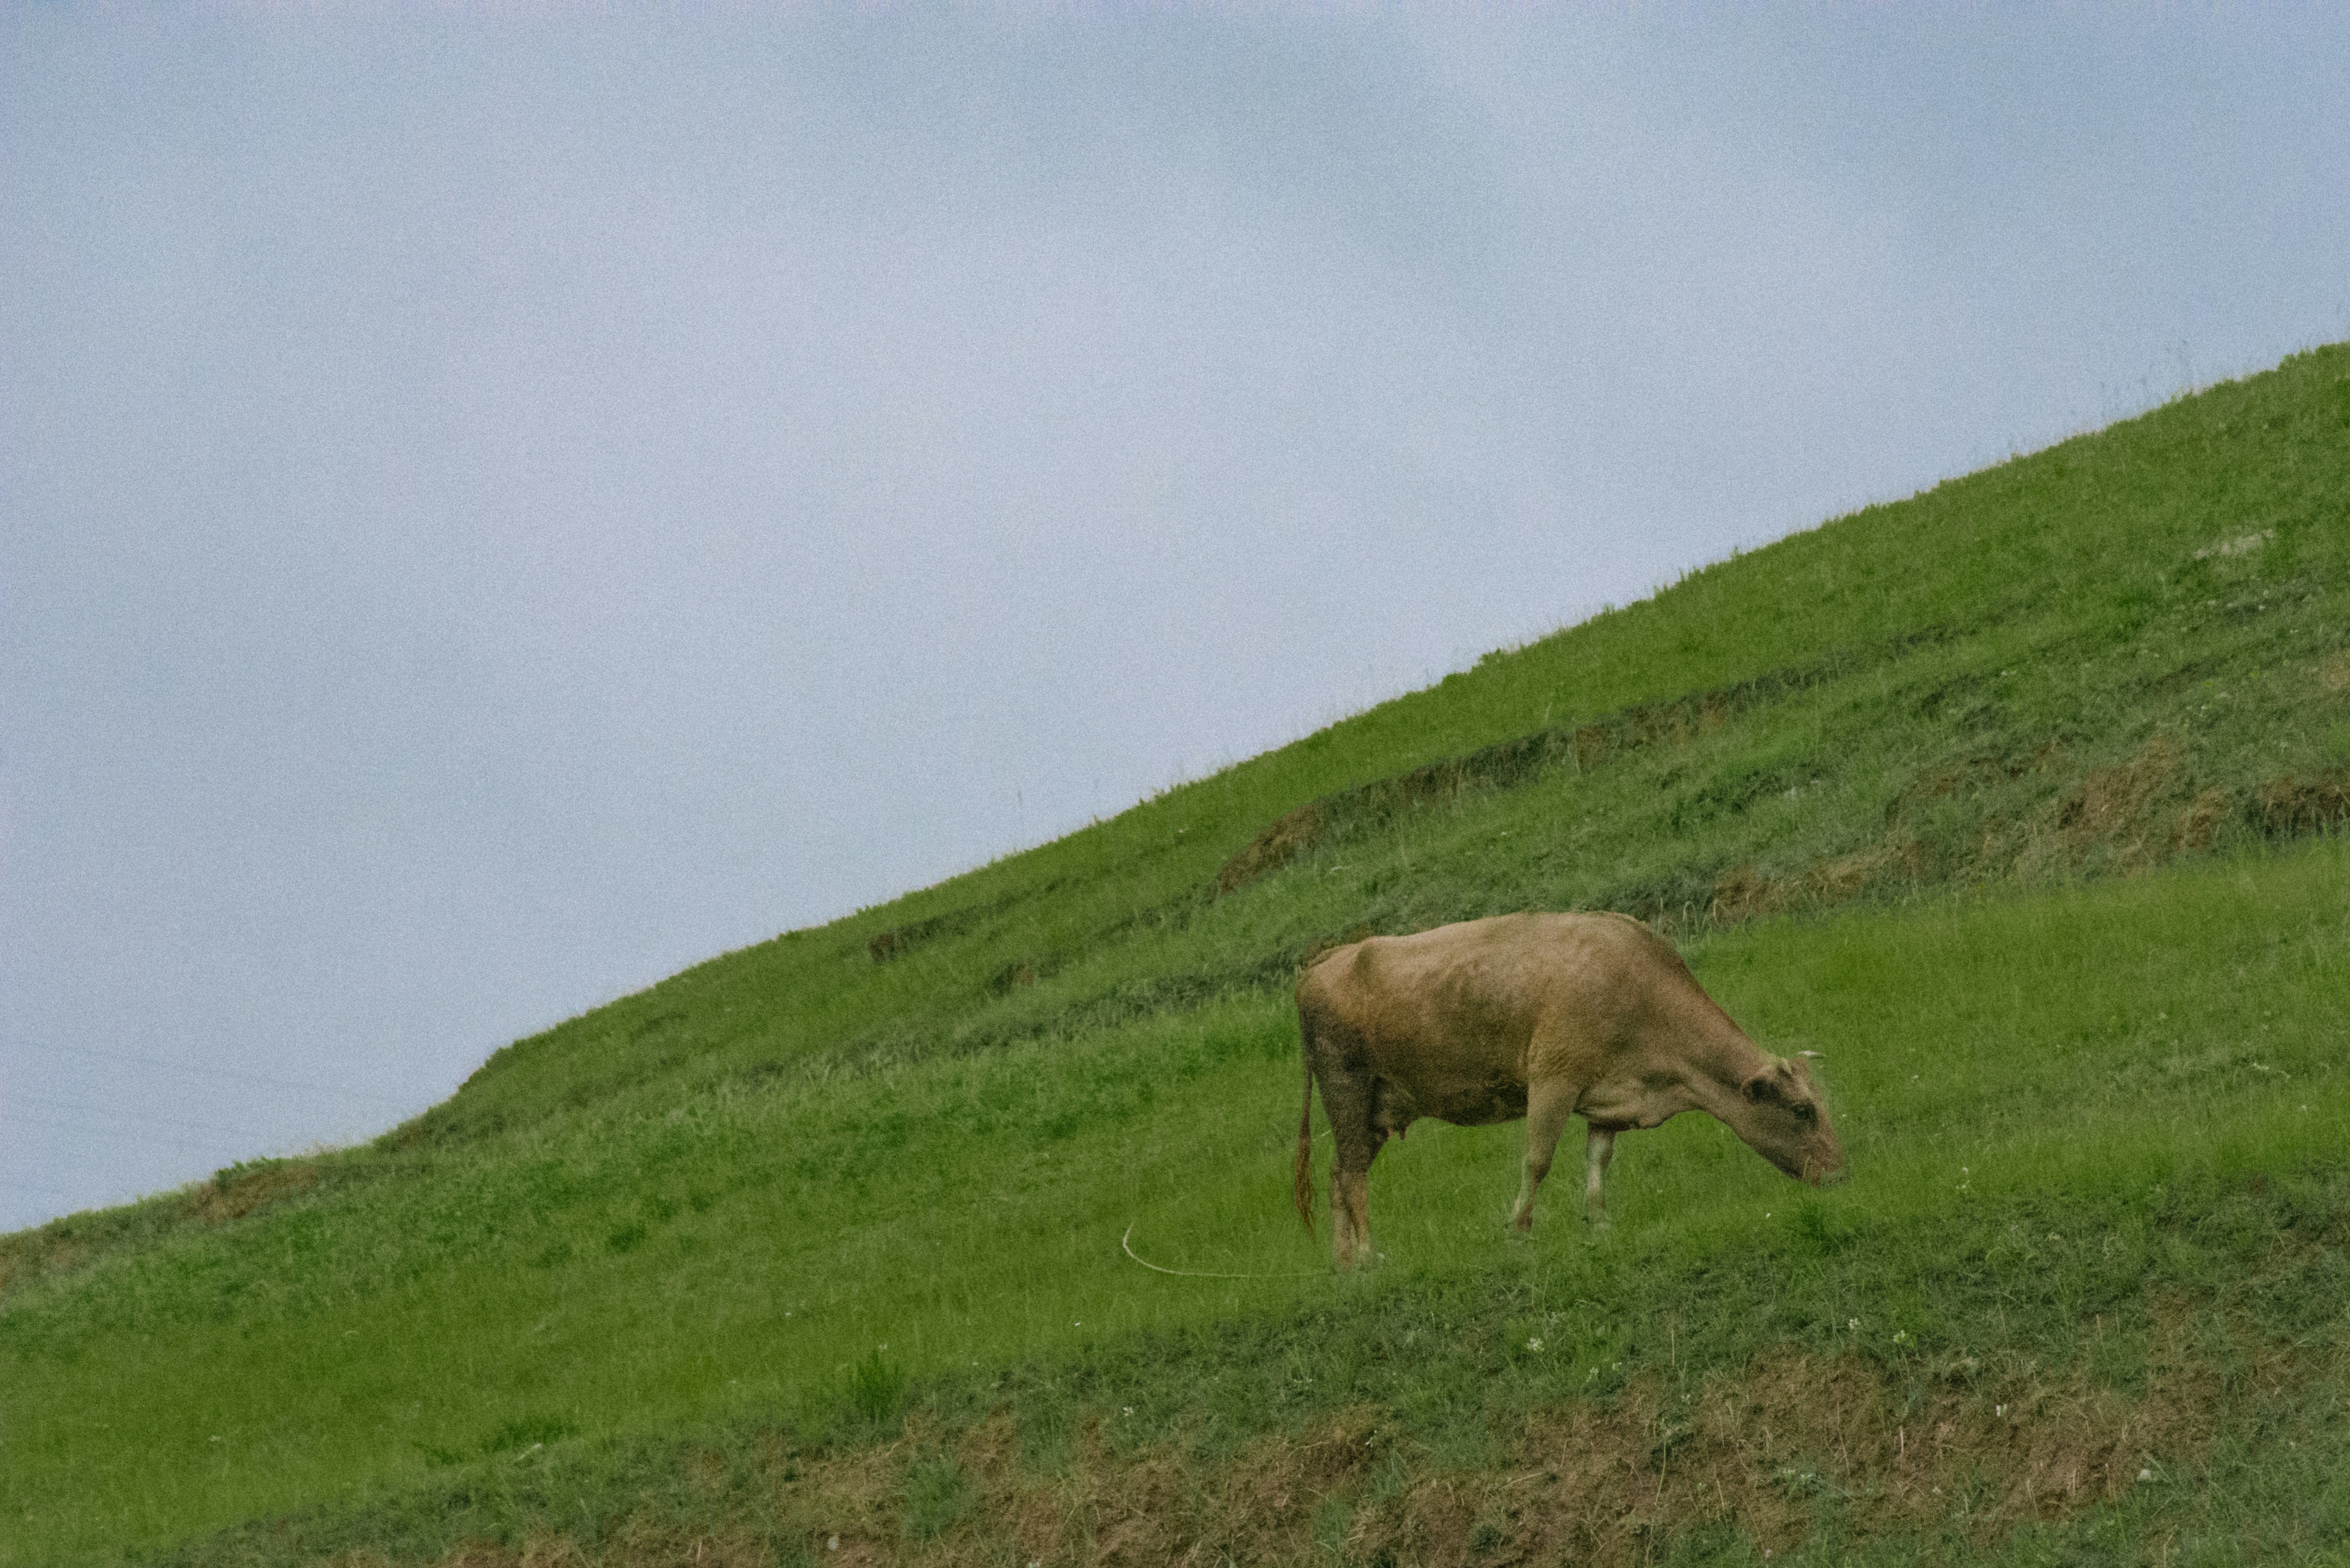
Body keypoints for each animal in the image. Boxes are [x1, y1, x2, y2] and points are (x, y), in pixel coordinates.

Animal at [1293, 911, 1846, 1269]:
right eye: (1801, 1110)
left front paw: (1598, 1222)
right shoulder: (1552, 1078)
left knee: (1338, 1173)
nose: (1841, 1173)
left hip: (1375, 1109)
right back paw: (1368, 1256)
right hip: (1347, 1089)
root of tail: (1324, 962)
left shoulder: (1607, 1095)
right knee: (1352, 1178)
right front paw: (1518, 1230)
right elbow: (1537, 1160)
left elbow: (1598, 1158)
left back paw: (1345, 1267)